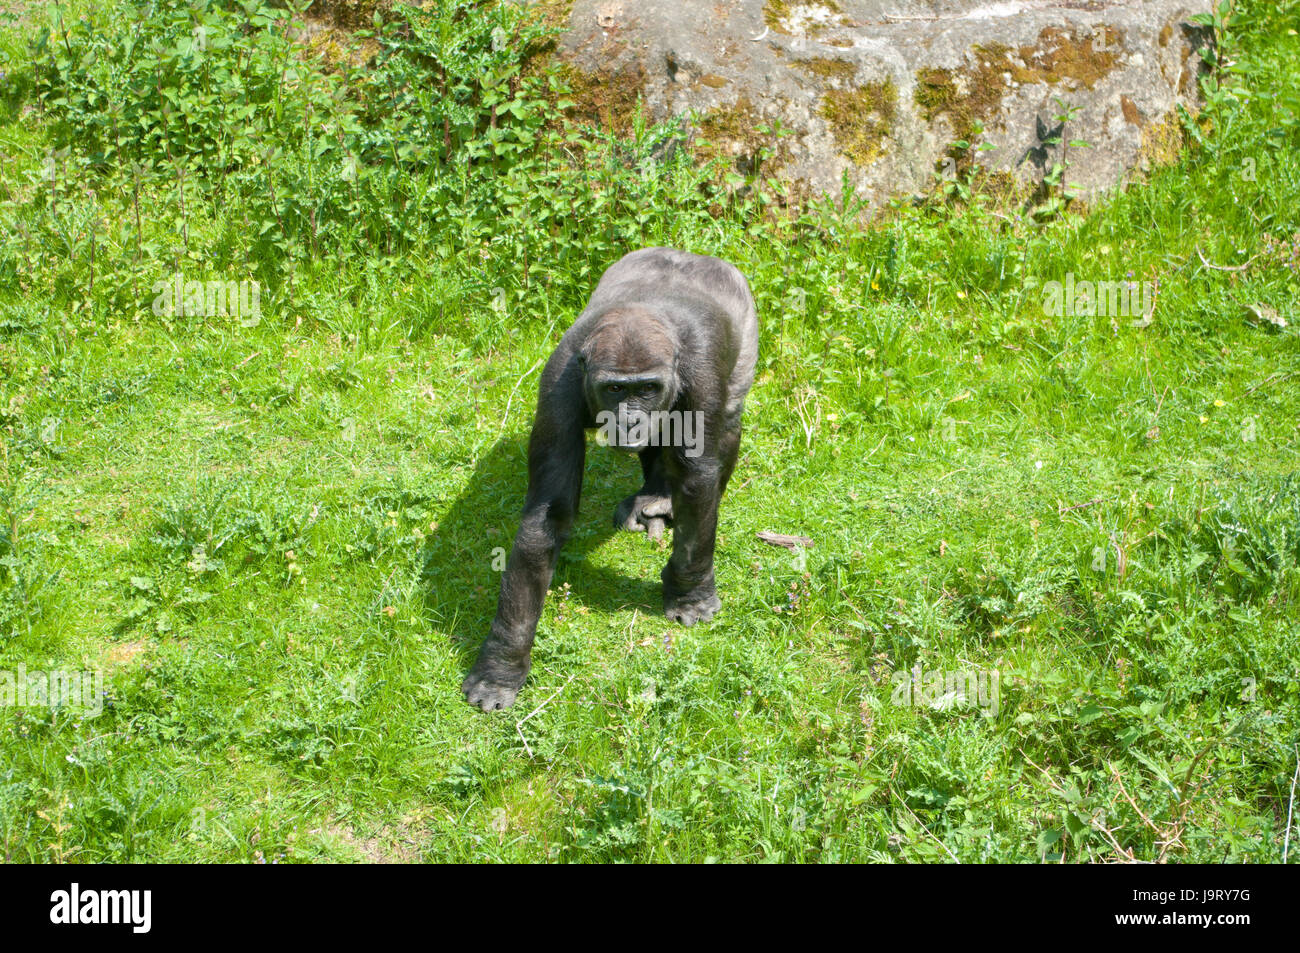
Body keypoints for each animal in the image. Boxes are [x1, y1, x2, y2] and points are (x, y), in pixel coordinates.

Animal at [461, 247, 758, 711]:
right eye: (616, 389)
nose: (631, 420)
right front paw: (502, 665)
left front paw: (690, 593)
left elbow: (697, 483)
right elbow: (548, 515)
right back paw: (654, 495)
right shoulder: (560, 384)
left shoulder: (702, 372)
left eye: (646, 388)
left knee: (728, 421)